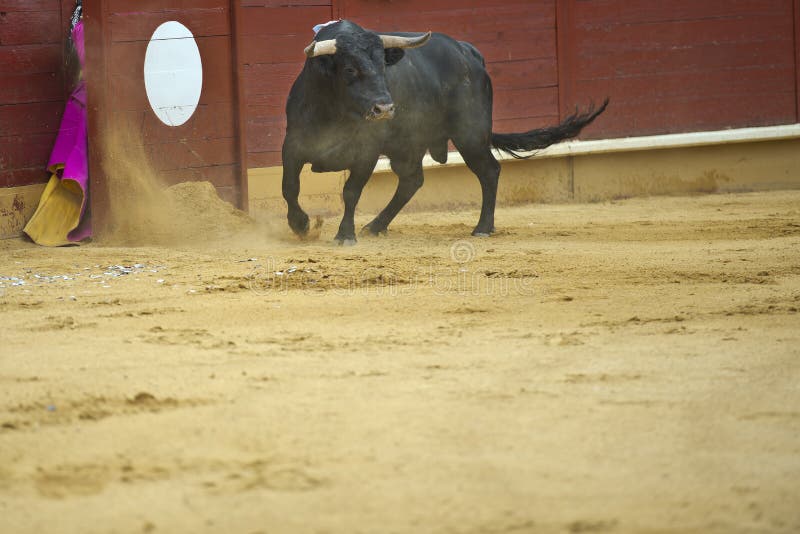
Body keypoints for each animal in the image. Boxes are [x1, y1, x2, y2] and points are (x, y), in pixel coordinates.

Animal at [281, 20, 607, 245]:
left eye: (383, 66)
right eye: (349, 69)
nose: (384, 109)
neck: (334, 108)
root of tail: (467, 51)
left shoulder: (367, 151)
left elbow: (351, 191)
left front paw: (345, 235)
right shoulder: (293, 146)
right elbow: (290, 187)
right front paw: (300, 225)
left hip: (470, 135)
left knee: (489, 171)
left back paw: (482, 228)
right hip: (409, 146)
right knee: (412, 180)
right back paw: (376, 226)